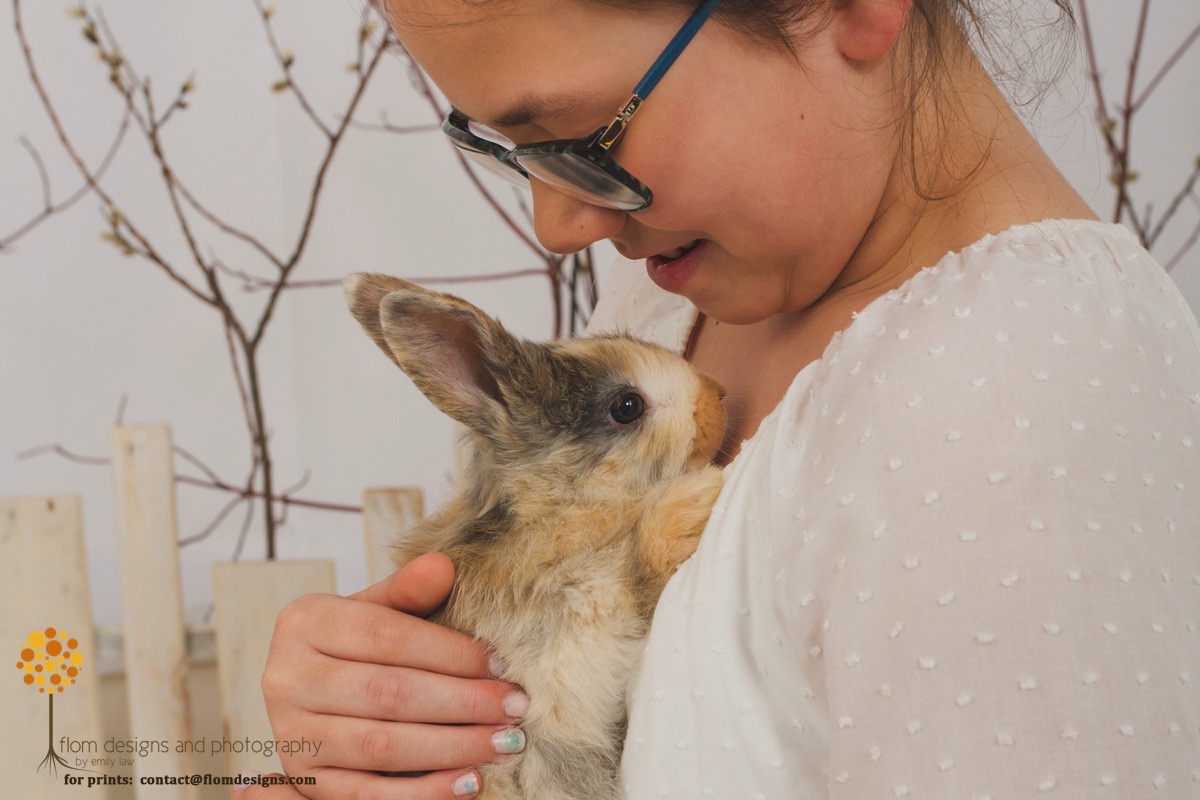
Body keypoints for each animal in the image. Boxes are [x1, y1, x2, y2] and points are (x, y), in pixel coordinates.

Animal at [344, 273, 726, 800]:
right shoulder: (590, 614)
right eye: (627, 406)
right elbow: (642, 566)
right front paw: (694, 498)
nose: (720, 396)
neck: (557, 505)